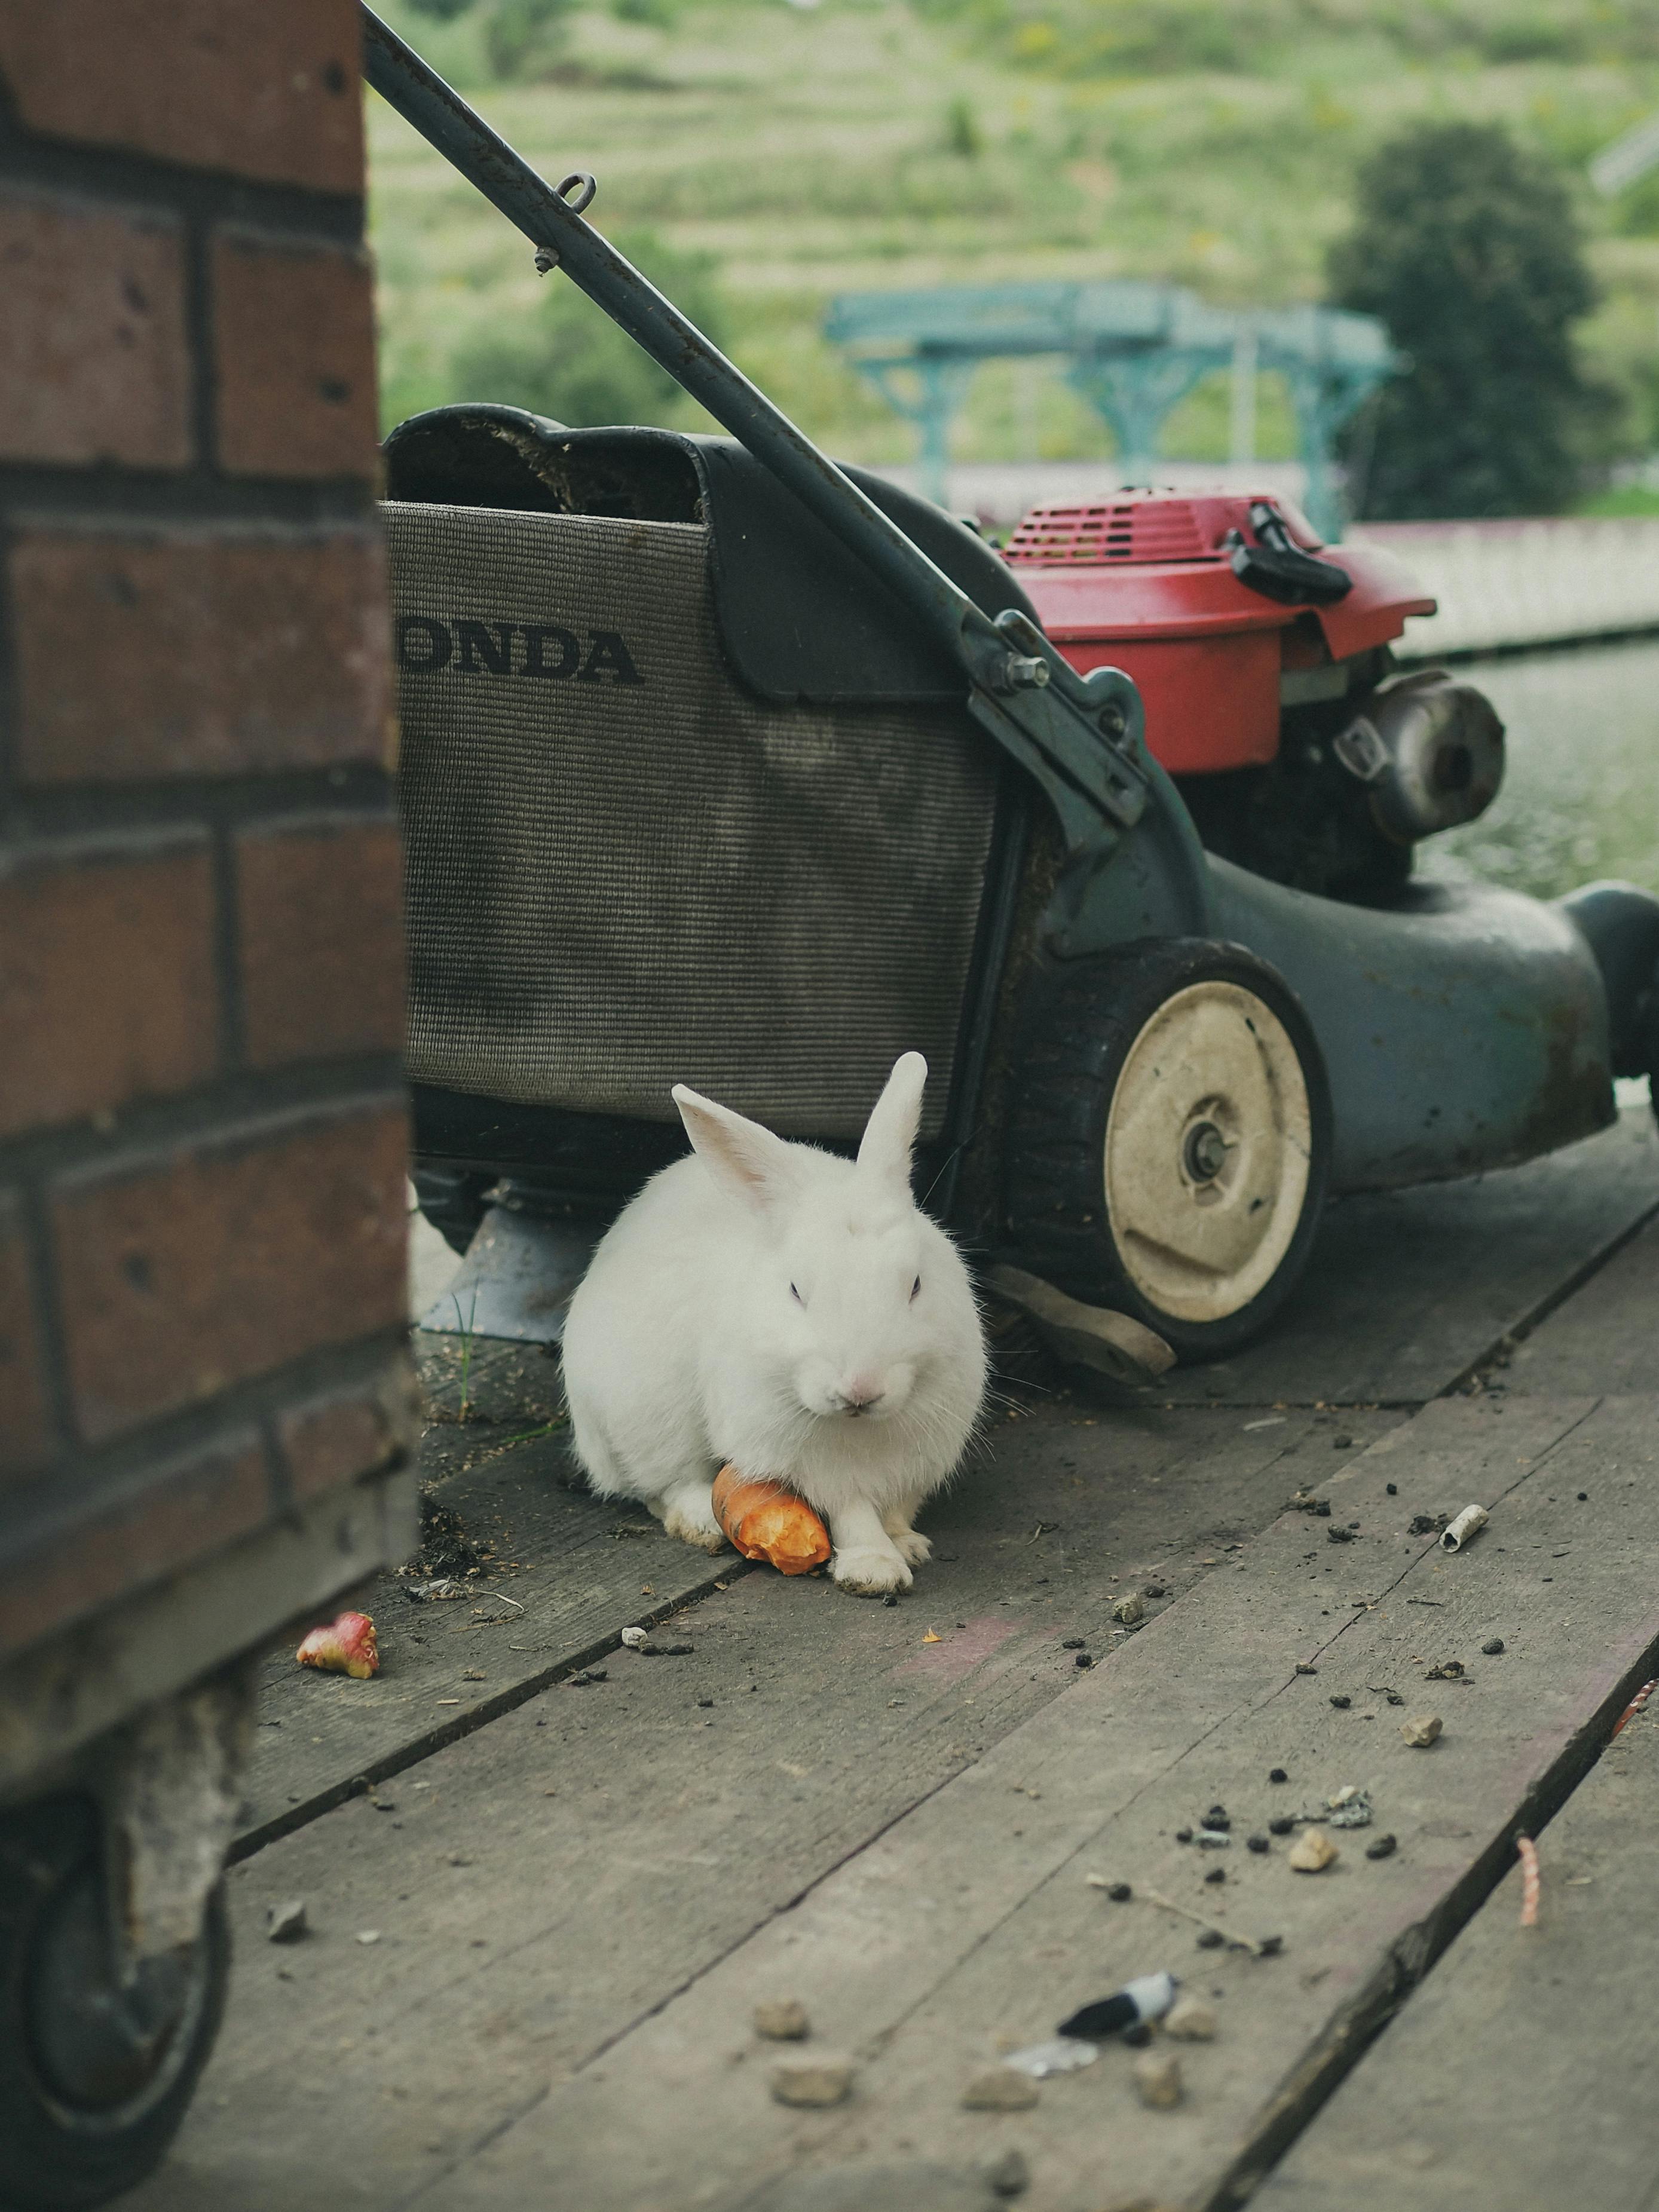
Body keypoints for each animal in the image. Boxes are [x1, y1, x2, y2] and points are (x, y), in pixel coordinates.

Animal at [560, 1052, 986, 1595]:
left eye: (914, 1285)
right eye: (796, 1291)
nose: (860, 1390)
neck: (858, 1430)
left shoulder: (916, 1462)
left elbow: (892, 1510)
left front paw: (906, 1544)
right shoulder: (813, 1465)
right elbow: (852, 1513)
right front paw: (874, 1569)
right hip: (645, 1420)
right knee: (662, 1485)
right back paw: (701, 1520)